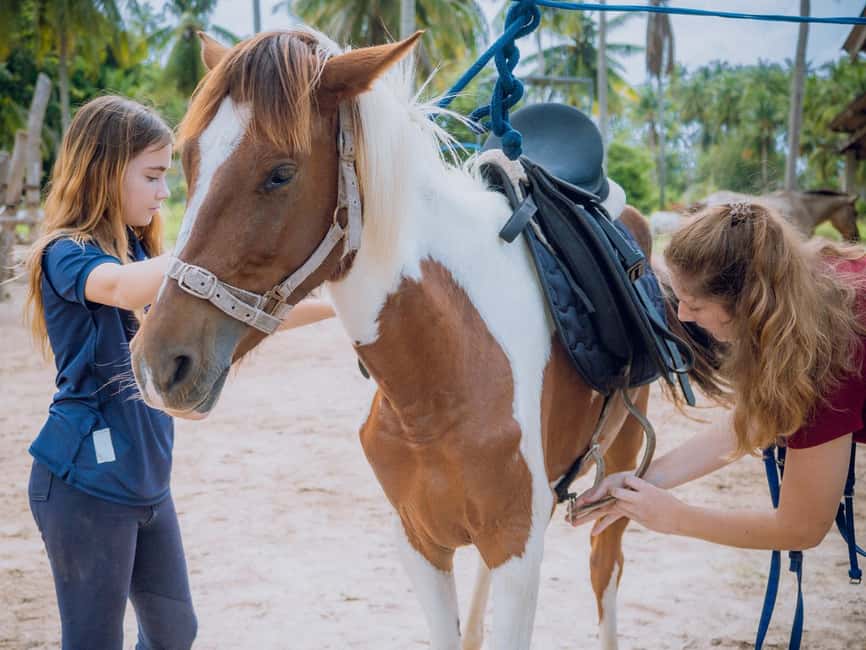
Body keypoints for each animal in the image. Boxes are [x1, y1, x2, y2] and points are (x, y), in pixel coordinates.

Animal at [130, 29, 660, 649]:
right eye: (187, 162)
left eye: (281, 173)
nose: (158, 364)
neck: (446, 368)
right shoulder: (422, 543)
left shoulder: (518, 549)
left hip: (621, 470)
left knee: (605, 571)